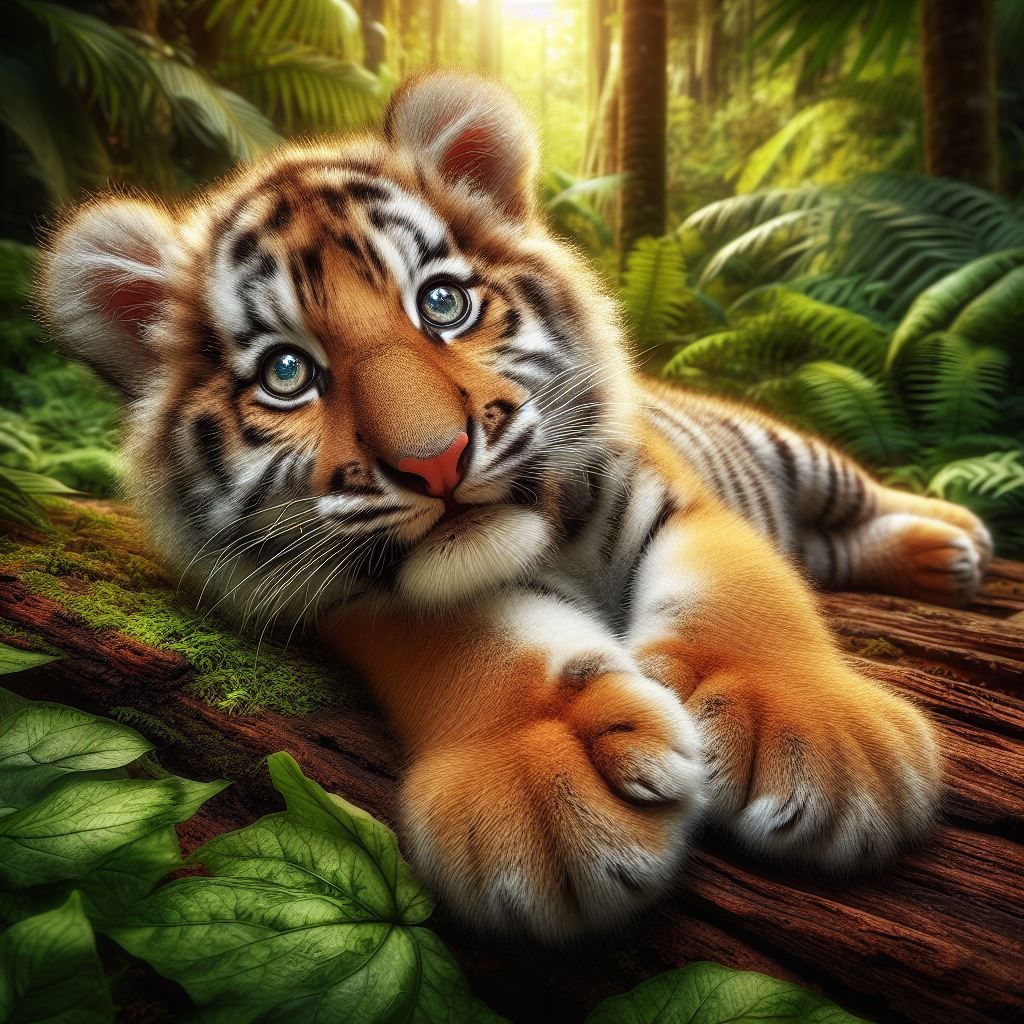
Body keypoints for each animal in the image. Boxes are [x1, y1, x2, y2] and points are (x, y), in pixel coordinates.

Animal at [40, 70, 991, 942]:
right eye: (286, 374)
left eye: (443, 303)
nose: (434, 460)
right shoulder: (368, 596)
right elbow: (482, 648)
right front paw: (547, 793)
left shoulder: (676, 498)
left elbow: (743, 595)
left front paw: (817, 741)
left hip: (794, 454)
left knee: (855, 498)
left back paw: (955, 543)